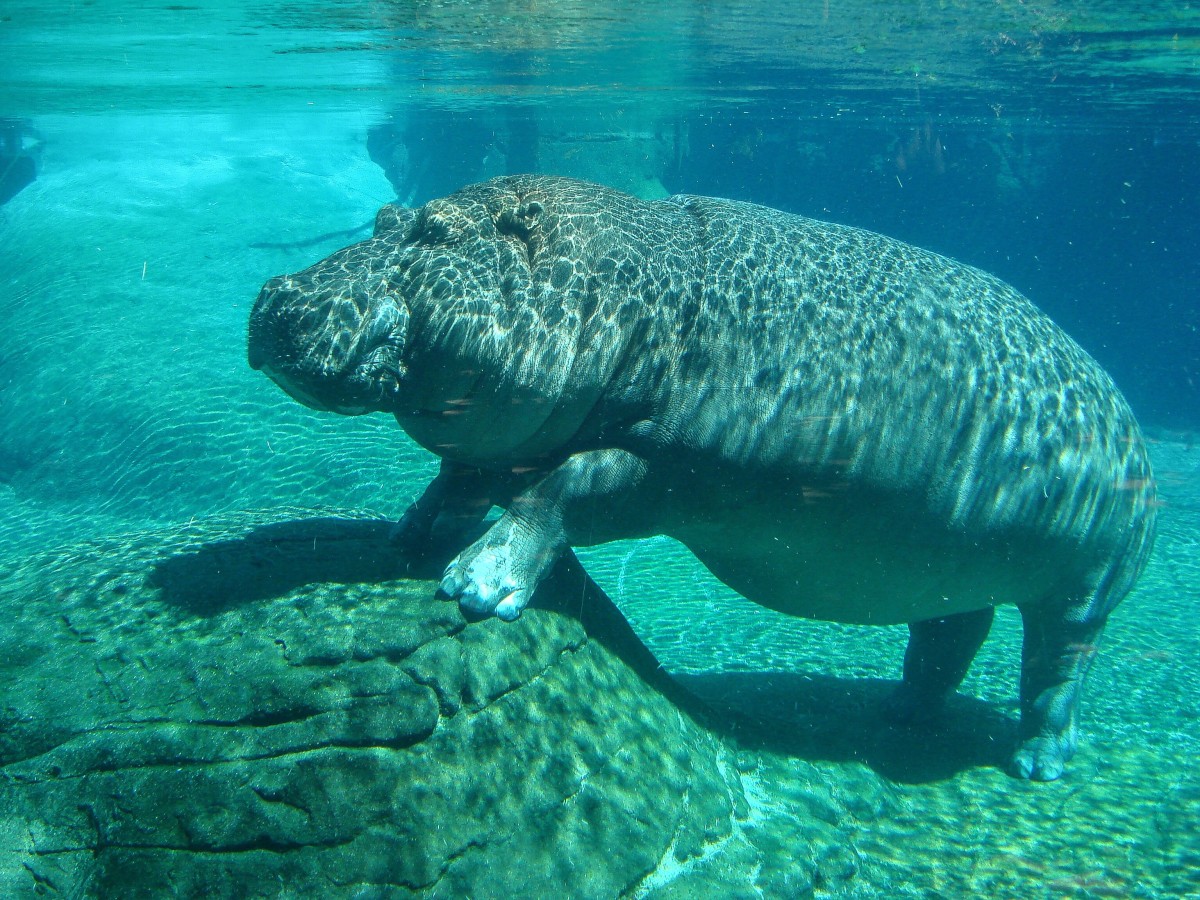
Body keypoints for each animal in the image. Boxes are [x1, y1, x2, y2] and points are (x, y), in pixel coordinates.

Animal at [247, 175, 1156, 780]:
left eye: (437, 232)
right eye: (385, 216)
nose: (276, 294)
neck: (610, 287)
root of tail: (1129, 417)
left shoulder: (664, 467)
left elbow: (553, 494)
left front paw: (476, 585)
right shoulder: (506, 438)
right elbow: (460, 478)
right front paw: (409, 534)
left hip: (1085, 584)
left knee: (1056, 668)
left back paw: (1039, 762)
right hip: (950, 561)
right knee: (950, 632)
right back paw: (899, 713)